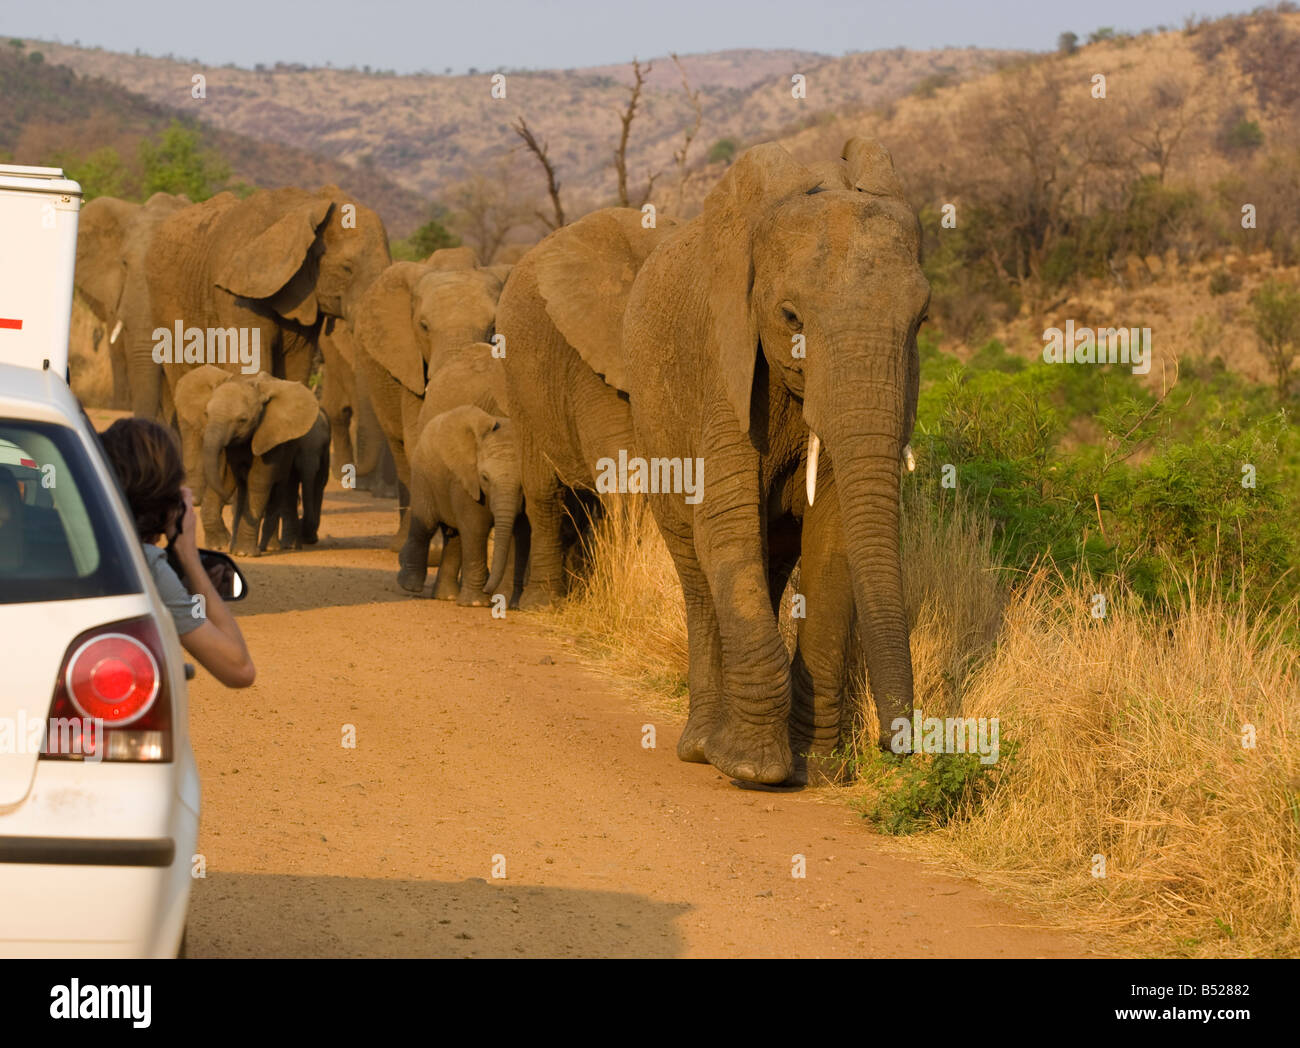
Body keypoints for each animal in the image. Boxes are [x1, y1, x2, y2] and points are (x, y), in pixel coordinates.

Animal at [197, 372, 331, 556]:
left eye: (243, 420)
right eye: (206, 414)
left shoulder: (271, 435)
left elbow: (258, 483)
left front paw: (243, 553)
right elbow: (224, 478)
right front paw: (219, 545)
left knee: (280, 491)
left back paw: (273, 547)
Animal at [397, 405, 525, 607]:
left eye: (522, 483)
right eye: (485, 478)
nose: (489, 591)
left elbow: (519, 533)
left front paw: (504, 601)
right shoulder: (465, 479)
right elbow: (475, 527)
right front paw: (476, 603)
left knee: (454, 537)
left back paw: (447, 597)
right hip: (422, 476)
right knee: (424, 525)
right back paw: (409, 586)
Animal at [495, 207, 677, 609]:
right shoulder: (593, 361)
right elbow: (625, 469)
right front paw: (625, 591)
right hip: (521, 386)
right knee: (545, 493)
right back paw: (544, 602)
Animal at [620, 139, 928, 786]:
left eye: (922, 322)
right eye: (791, 318)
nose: (898, 744)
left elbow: (833, 540)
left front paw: (817, 768)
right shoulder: (723, 366)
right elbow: (724, 525)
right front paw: (754, 770)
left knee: (772, 558)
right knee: (696, 567)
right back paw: (701, 748)